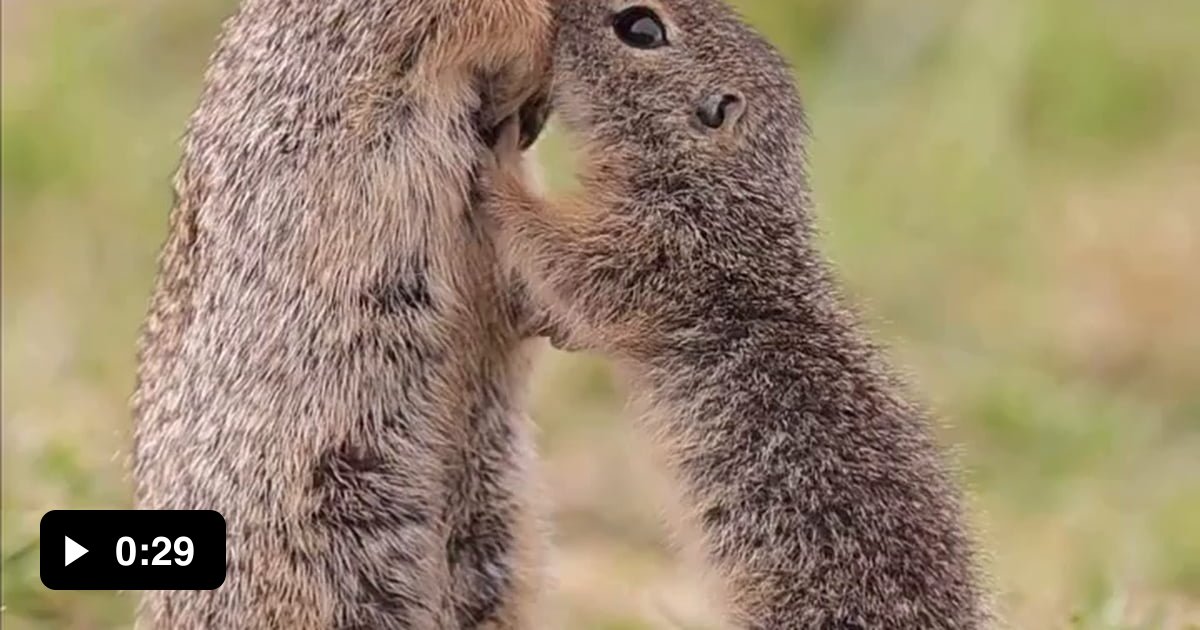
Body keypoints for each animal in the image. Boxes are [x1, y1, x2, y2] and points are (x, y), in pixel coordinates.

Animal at [482, 0, 989, 627]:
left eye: (640, 27)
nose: (559, 9)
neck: (726, 186)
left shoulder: (668, 243)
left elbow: (576, 266)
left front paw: (501, 171)